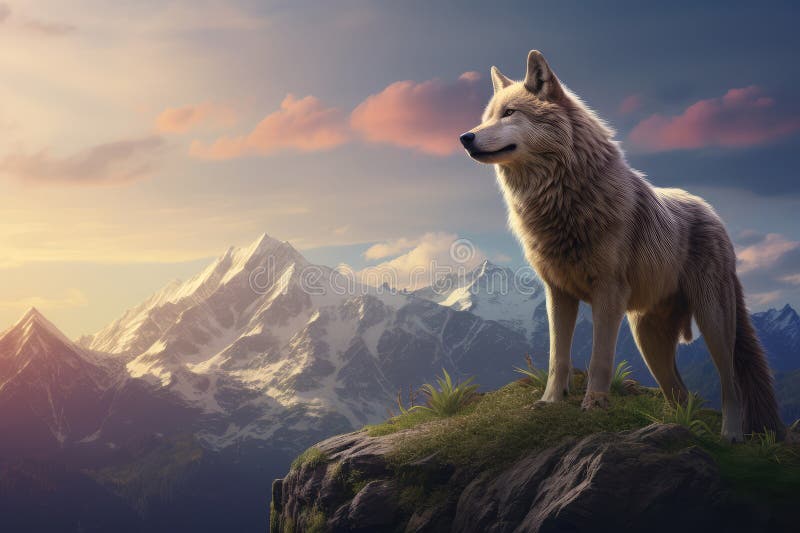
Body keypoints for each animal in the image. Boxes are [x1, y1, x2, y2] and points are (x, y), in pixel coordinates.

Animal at [460, 50, 783, 441]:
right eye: (487, 118)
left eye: (509, 113)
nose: (465, 137)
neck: (561, 198)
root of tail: (711, 212)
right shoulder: (557, 293)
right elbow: (557, 358)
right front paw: (549, 402)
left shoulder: (608, 292)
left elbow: (600, 358)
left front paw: (594, 404)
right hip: (648, 340)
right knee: (680, 393)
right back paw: (676, 428)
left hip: (713, 324)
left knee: (730, 383)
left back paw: (731, 436)